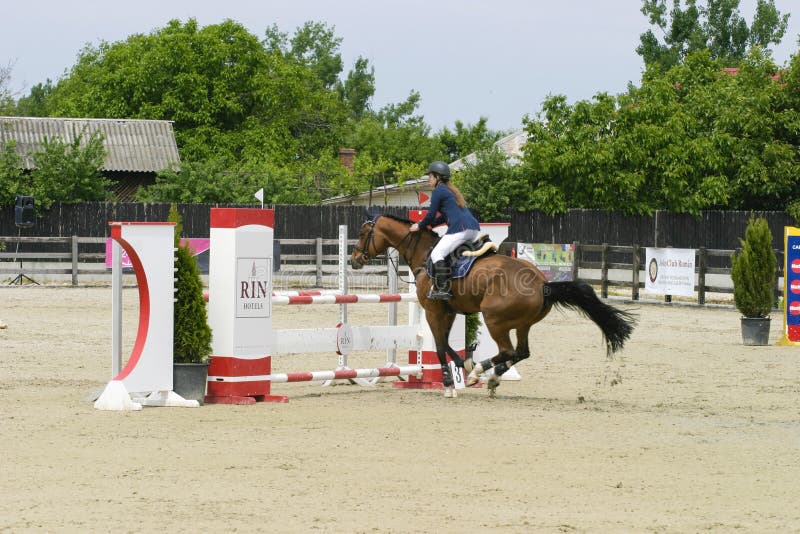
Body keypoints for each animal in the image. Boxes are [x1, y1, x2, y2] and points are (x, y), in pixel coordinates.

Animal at [350, 213, 636, 398]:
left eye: (363, 234)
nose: (354, 259)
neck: (425, 255)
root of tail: (542, 284)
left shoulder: (434, 311)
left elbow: (441, 346)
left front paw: (451, 381)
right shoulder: (449, 311)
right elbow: (449, 345)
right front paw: (463, 365)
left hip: (494, 319)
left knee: (508, 351)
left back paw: (482, 372)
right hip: (522, 324)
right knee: (521, 352)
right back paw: (492, 376)